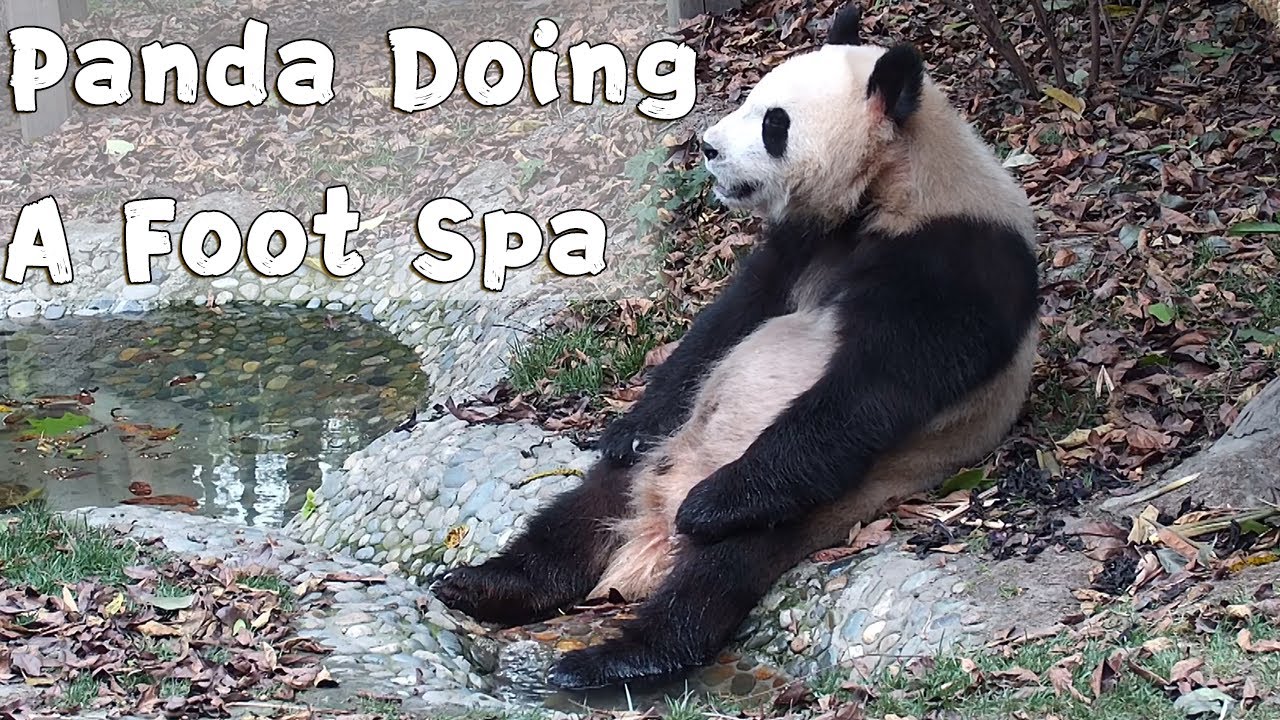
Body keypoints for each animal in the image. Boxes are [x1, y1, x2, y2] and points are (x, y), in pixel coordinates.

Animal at [433, 3, 1040, 690]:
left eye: (775, 123)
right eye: (752, 99)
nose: (708, 147)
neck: (894, 186)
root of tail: (649, 535)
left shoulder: (960, 265)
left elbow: (873, 388)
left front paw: (710, 504)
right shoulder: (805, 241)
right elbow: (729, 321)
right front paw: (626, 430)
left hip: (826, 500)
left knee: (719, 571)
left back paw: (621, 652)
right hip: (666, 455)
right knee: (580, 510)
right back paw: (489, 584)